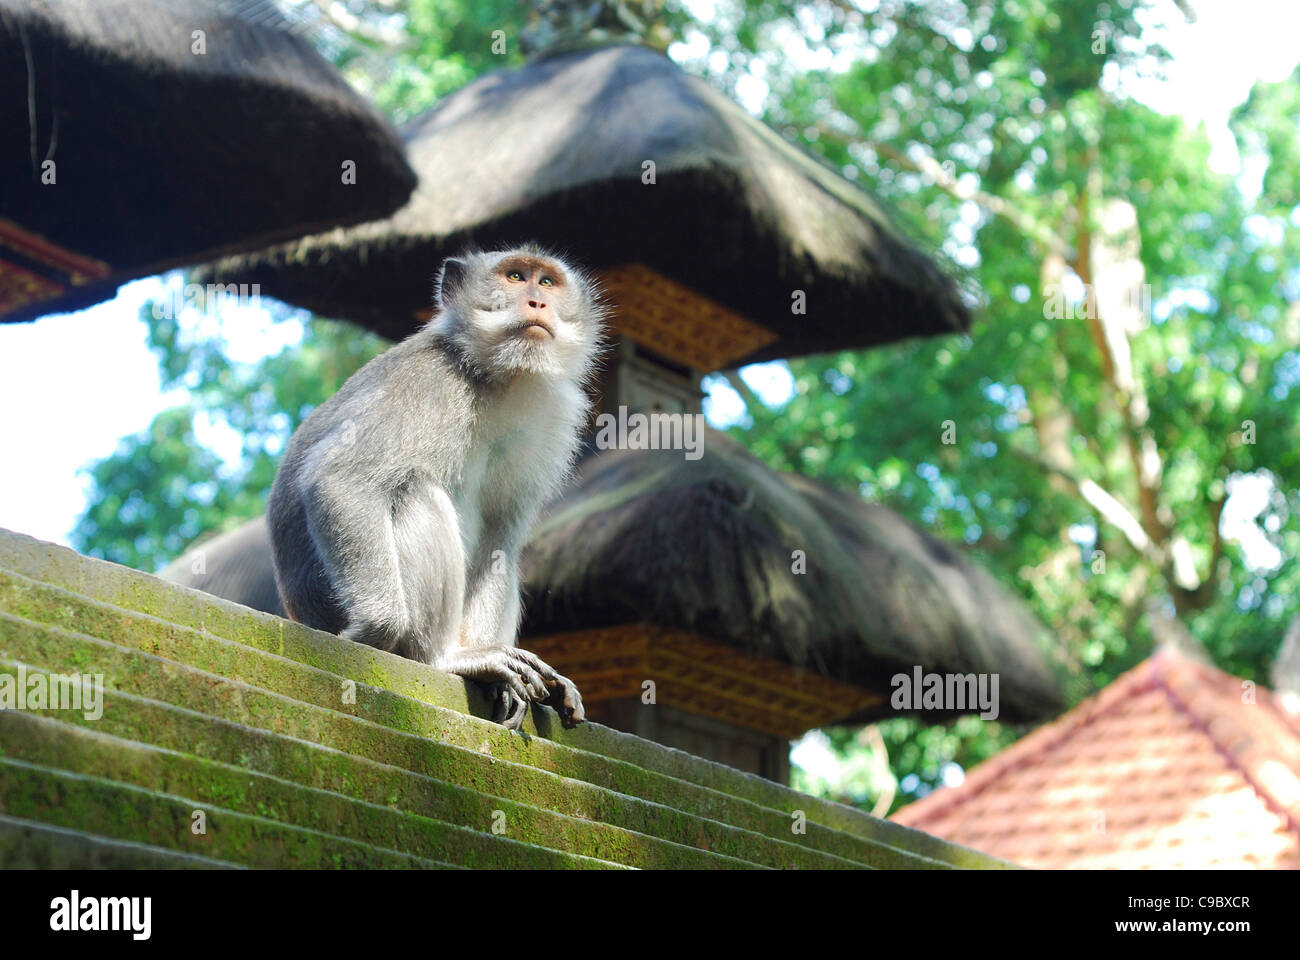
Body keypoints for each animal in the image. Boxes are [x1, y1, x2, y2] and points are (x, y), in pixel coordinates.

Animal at [266, 244, 605, 729]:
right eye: (515, 276)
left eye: (546, 283)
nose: (537, 302)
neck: (499, 379)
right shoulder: (427, 382)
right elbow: (340, 478)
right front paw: (374, 632)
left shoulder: (553, 417)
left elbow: (499, 537)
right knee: (413, 492)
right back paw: (440, 658)